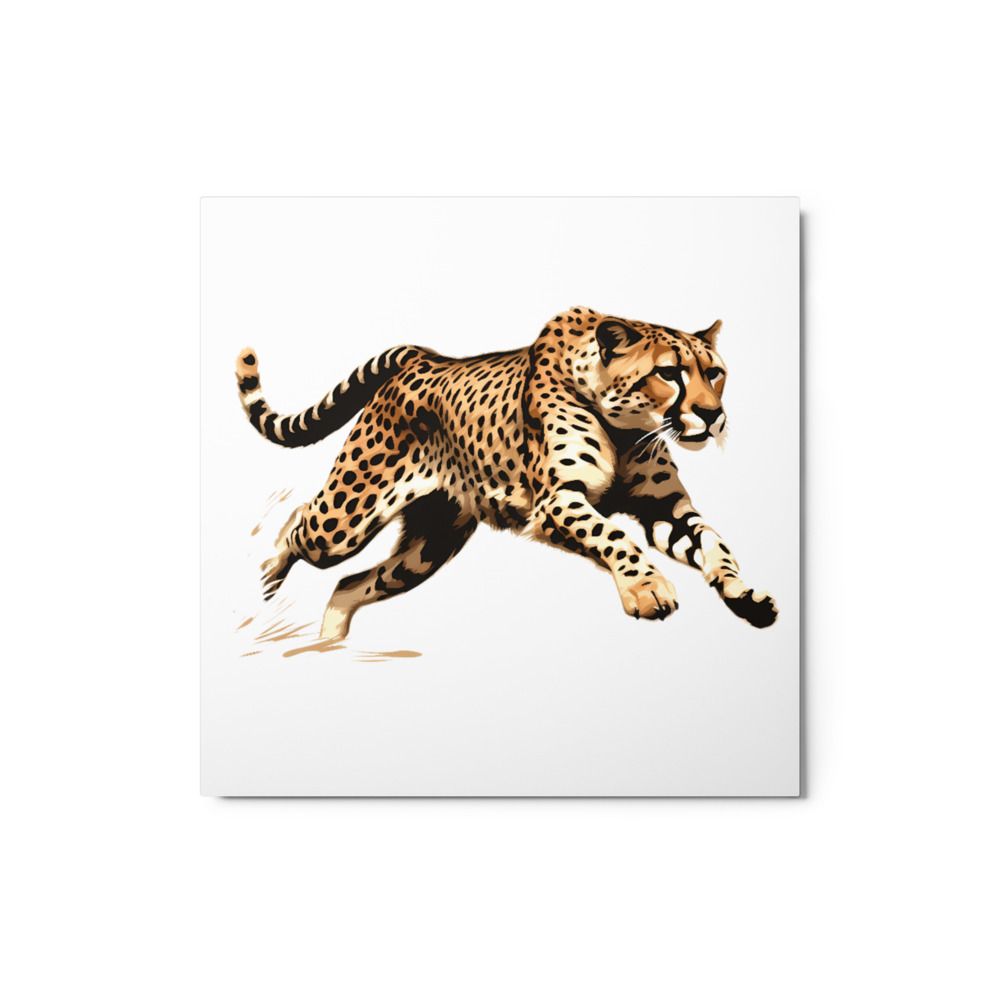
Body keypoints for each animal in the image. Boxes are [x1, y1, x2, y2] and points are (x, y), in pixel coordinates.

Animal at [235, 307, 778, 642]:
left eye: (714, 373)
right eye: (668, 373)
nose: (712, 415)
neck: (628, 427)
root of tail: (423, 357)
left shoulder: (662, 507)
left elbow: (714, 542)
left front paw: (743, 595)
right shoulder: (558, 500)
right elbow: (615, 536)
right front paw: (647, 590)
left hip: (428, 547)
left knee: (349, 584)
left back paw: (328, 648)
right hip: (347, 519)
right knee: (300, 524)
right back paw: (265, 580)